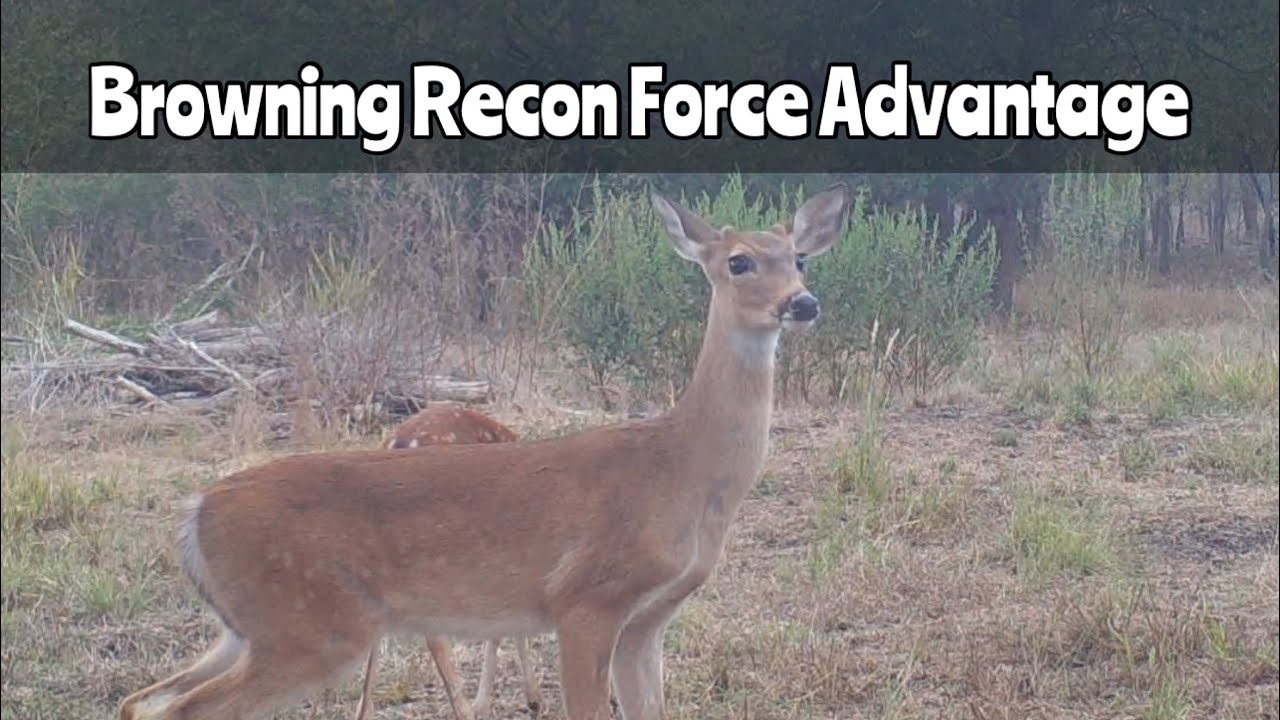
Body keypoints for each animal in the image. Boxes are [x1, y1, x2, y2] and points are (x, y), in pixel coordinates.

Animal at [116, 182, 851, 720]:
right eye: (738, 261)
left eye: (800, 259)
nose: (804, 303)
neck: (681, 471)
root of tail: (195, 511)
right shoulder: (586, 595)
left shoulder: (649, 619)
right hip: (308, 623)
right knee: (183, 709)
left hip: (249, 625)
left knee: (141, 700)